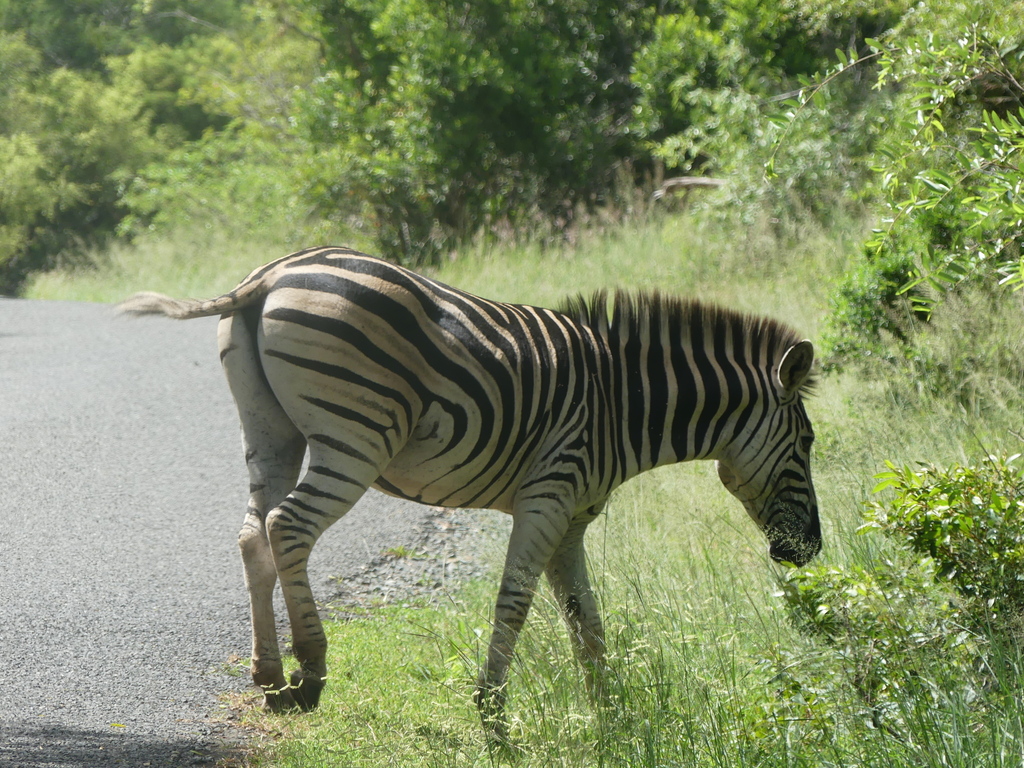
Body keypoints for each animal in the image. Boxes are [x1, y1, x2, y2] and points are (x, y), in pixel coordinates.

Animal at [120, 245, 820, 724]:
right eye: (809, 445)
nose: (808, 551)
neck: (620, 404)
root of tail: (268, 275)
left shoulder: (571, 518)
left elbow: (584, 616)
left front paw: (607, 706)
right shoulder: (549, 495)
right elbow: (517, 602)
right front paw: (492, 709)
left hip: (270, 432)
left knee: (252, 535)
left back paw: (269, 674)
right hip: (356, 436)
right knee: (287, 527)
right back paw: (311, 669)